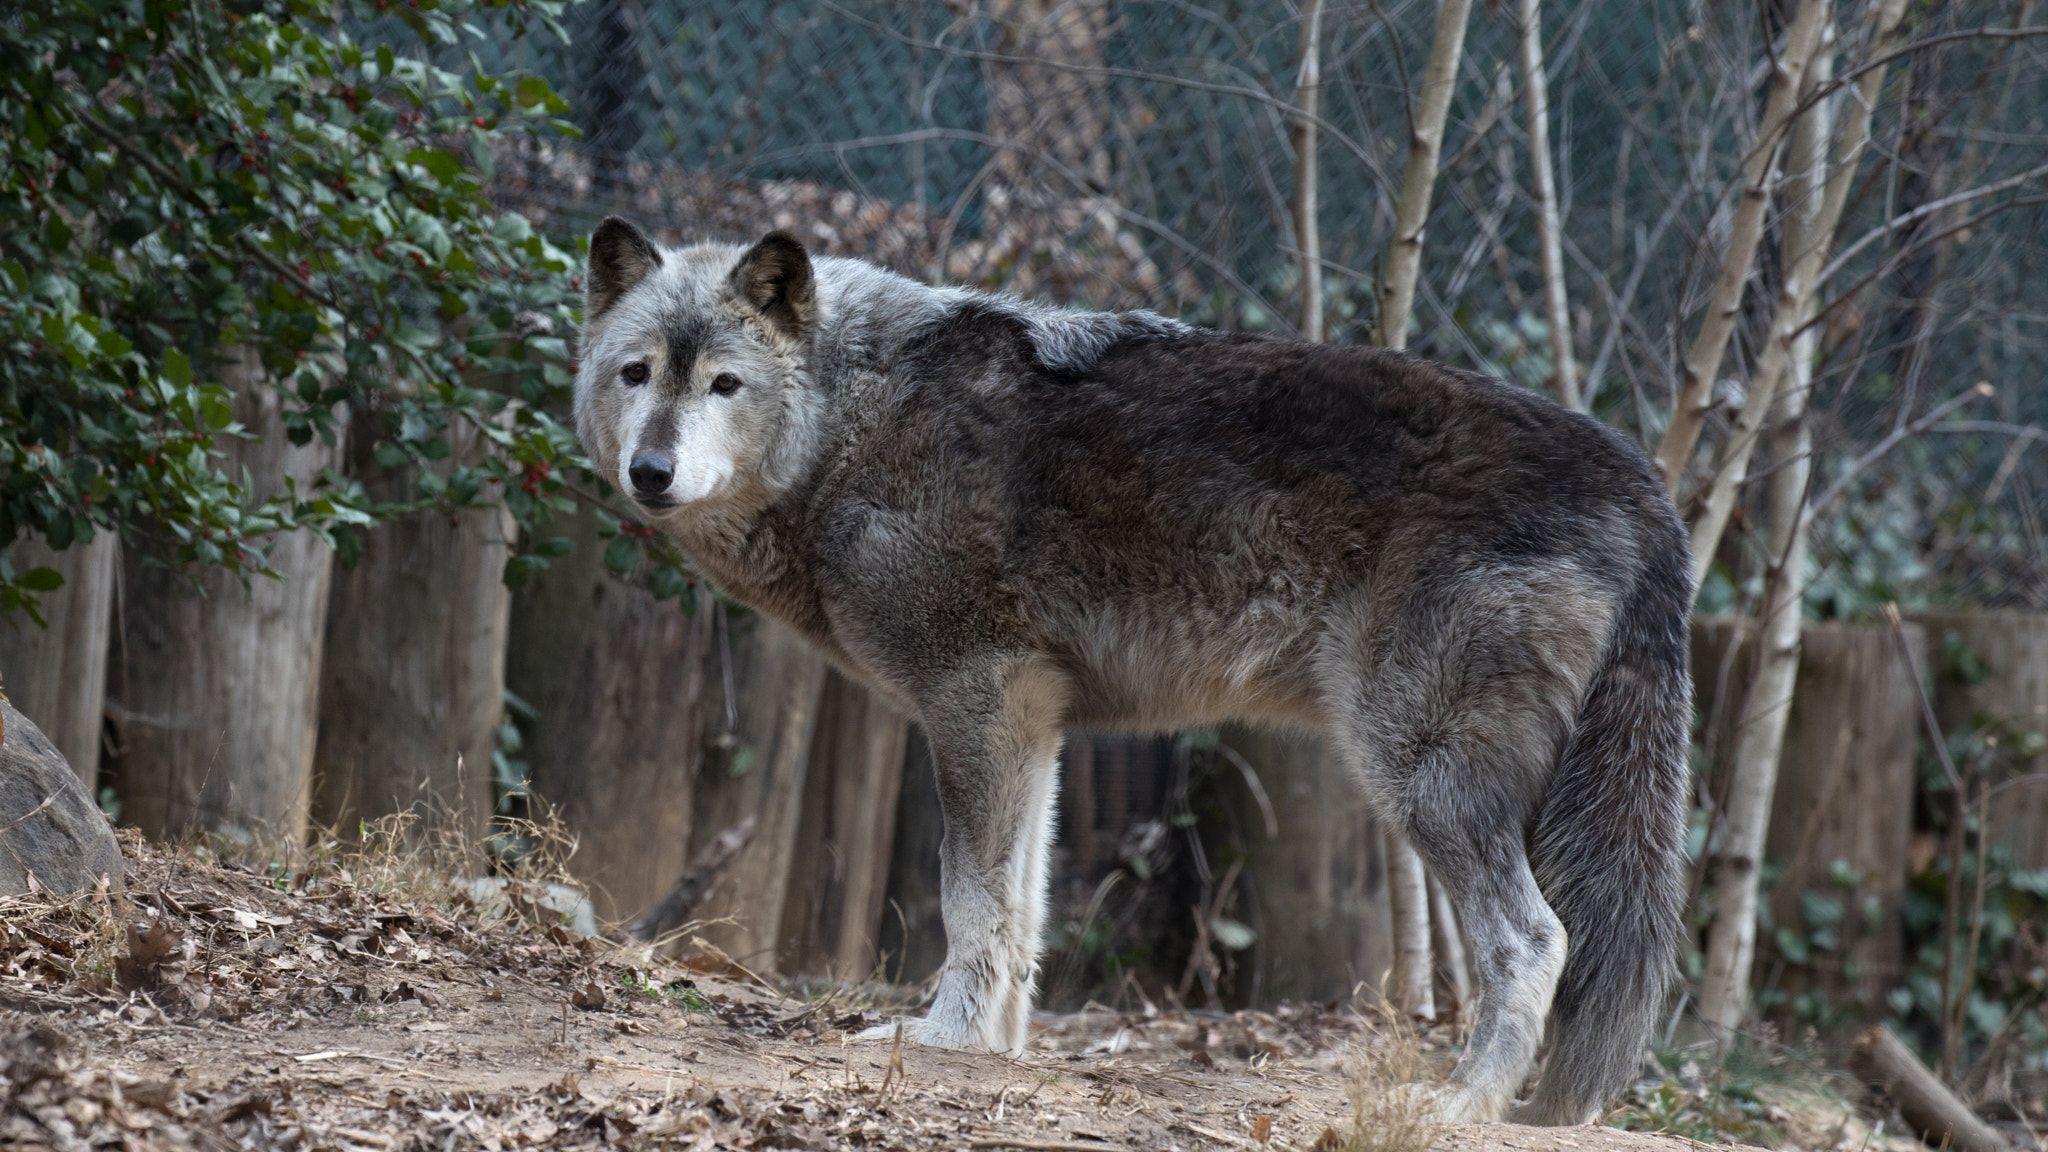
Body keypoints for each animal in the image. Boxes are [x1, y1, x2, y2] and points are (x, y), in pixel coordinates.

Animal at [572, 217, 1692, 1126]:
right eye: (637, 374)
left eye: (725, 385)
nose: (650, 473)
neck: (855, 415)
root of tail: (1643, 478)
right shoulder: (1031, 720)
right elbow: (1020, 905)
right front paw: (995, 1053)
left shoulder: (974, 697)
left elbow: (968, 898)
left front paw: (937, 1042)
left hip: (1421, 778)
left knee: (1534, 940)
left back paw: (1466, 1104)